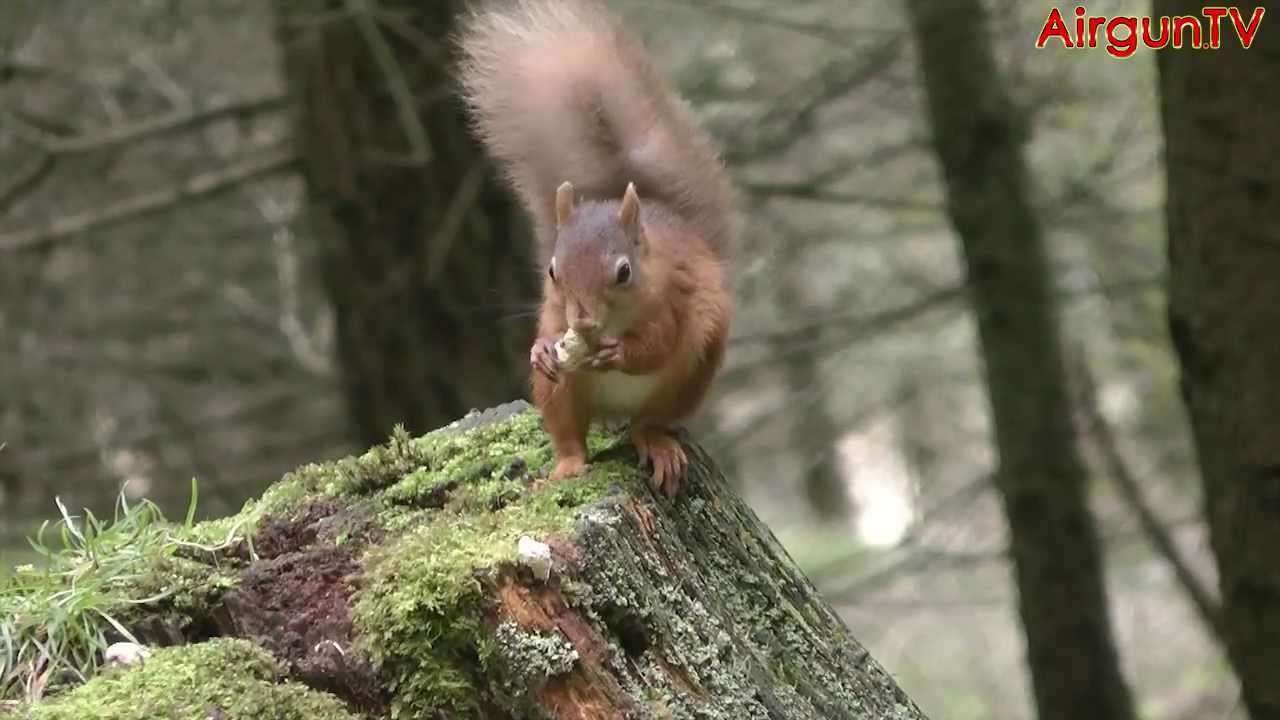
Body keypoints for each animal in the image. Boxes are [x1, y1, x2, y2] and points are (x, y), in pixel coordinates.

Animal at [458, 0, 734, 497]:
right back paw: (566, 467)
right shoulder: (554, 312)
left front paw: (621, 353)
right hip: (559, 394)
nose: (582, 321)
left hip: (689, 377)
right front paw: (543, 349)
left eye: (623, 272)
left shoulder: (676, 295)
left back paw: (656, 444)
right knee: (570, 437)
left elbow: (661, 342)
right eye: (552, 271)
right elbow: (547, 333)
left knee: (649, 423)